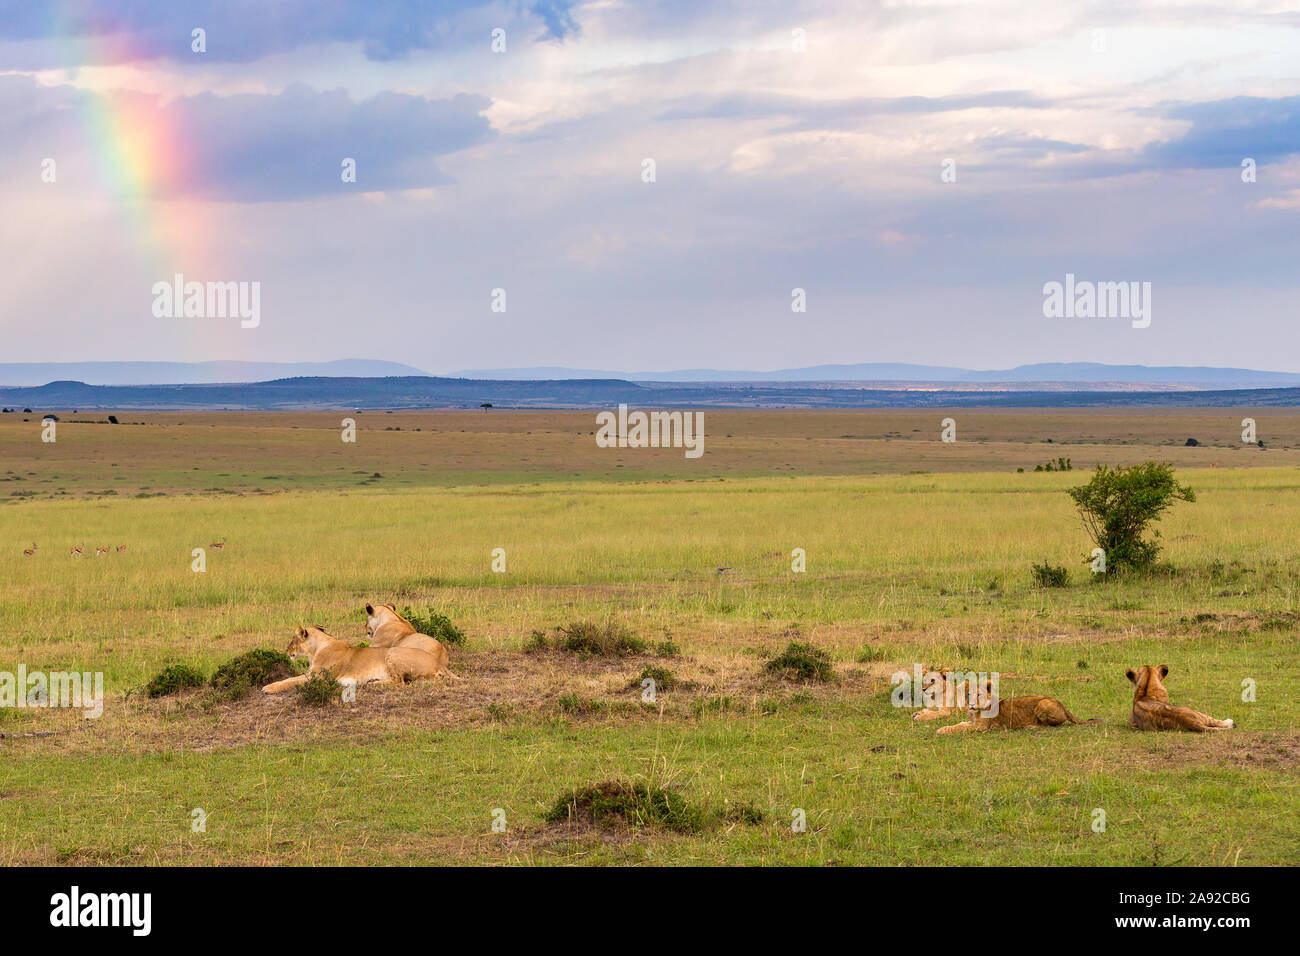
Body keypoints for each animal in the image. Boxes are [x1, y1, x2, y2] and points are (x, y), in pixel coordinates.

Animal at [261, 625, 449, 694]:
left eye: (293, 639)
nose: (286, 650)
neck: (316, 649)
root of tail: (438, 663)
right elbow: (290, 679)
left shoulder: (320, 677)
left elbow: (291, 681)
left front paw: (268, 688)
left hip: (392, 653)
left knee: (400, 682)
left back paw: (374, 683)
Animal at [937, 679, 1094, 734]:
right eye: (969, 694)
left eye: (979, 695)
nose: (971, 704)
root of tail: (1062, 705)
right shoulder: (973, 722)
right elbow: (960, 724)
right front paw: (944, 727)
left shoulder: (981, 727)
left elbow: (959, 727)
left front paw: (941, 730)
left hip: (1042, 704)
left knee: (1052, 725)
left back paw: (1030, 727)